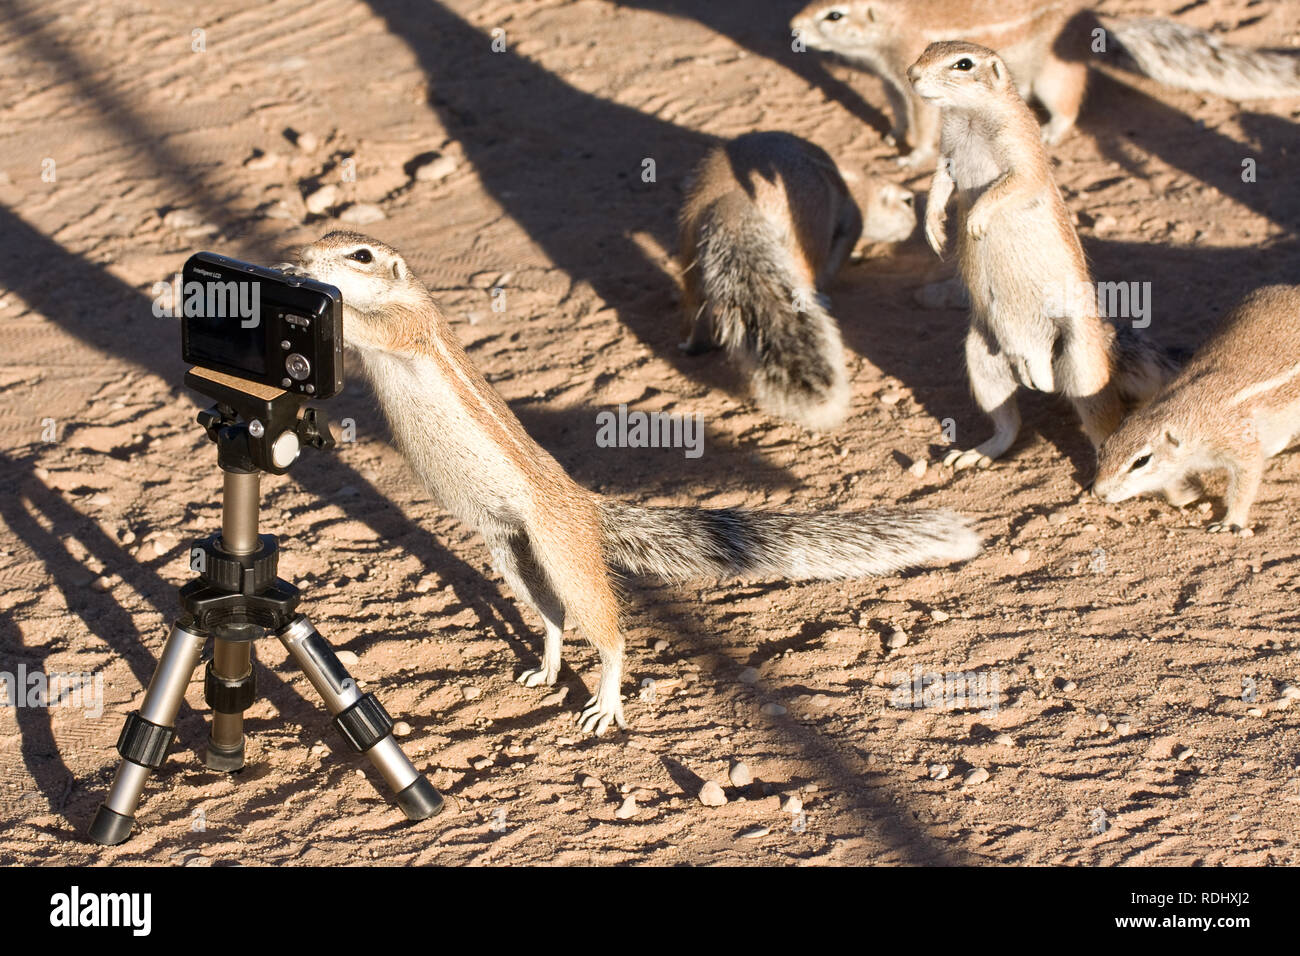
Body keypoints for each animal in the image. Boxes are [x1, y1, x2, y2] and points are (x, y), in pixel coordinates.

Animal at [295, 230, 980, 735]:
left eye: (359, 254)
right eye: (323, 236)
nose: (303, 257)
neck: (407, 295)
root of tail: (585, 507)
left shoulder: (404, 327)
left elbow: (368, 328)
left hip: (562, 555)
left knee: (610, 634)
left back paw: (606, 703)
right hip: (512, 551)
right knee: (553, 616)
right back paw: (545, 670)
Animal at [678, 131, 915, 432]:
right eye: (908, 201)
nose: (915, 225)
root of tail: (729, 195)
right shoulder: (851, 221)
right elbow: (839, 254)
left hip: (691, 256)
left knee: (697, 307)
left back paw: (694, 345)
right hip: (808, 232)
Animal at [791, 0, 1300, 167]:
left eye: (834, 15)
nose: (793, 27)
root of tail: (1092, 21)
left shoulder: (911, 84)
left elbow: (921, 125)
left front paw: (911, 156)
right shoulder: (891, 82)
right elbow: (897, 112)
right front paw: (891, 136)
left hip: (1054, 75)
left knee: (1069, 104)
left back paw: (1054, 130)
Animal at [908, 41, 1179, 470]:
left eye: (963, 64)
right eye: (927, 48)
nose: (911, 74)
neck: (970, 119)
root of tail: (1034, 366)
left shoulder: (1023, 153)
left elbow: (1011, 184)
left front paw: (977, 220)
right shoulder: (947, 155)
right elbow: (938, 184)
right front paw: (934, 227)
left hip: (1082, 366)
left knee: (1105, 424)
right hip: (981, 358)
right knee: (1008, 422)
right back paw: (977, 453)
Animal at [1094, 285, 1300, 536]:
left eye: (1141, 461)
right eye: (1102, 449)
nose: (1098, 492)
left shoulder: (1238, 441)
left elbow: (1245, 483)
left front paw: (1230, 521)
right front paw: (1183, 496)